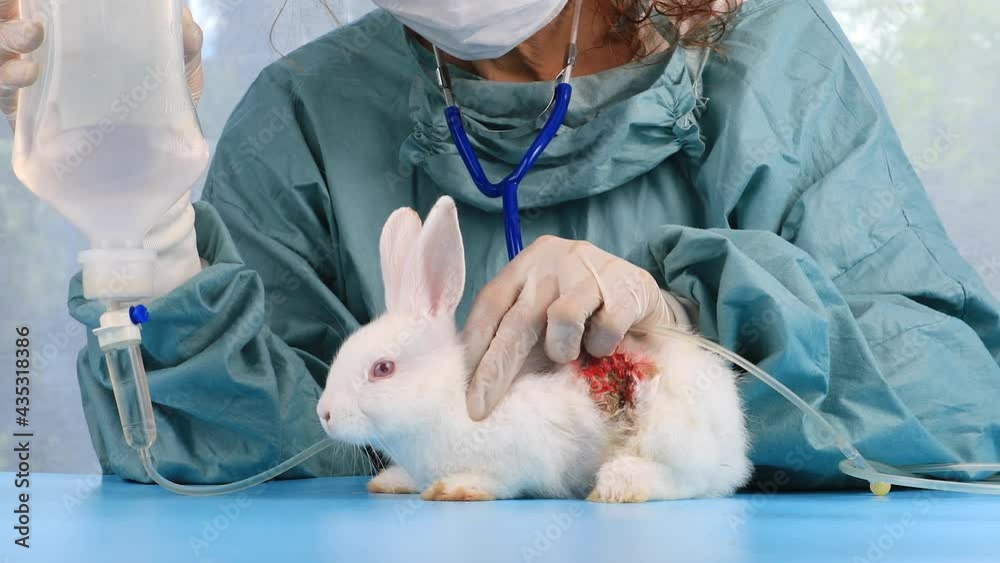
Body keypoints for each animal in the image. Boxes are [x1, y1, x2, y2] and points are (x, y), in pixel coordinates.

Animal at [317, 196, 752, 502]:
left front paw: (456, 488)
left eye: (383, 368)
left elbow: (503, 480)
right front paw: (392, 481)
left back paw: (619, 484)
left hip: (669, 432)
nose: (325, 415)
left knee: (691, 480)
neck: (444, 400)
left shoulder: (528, 450)